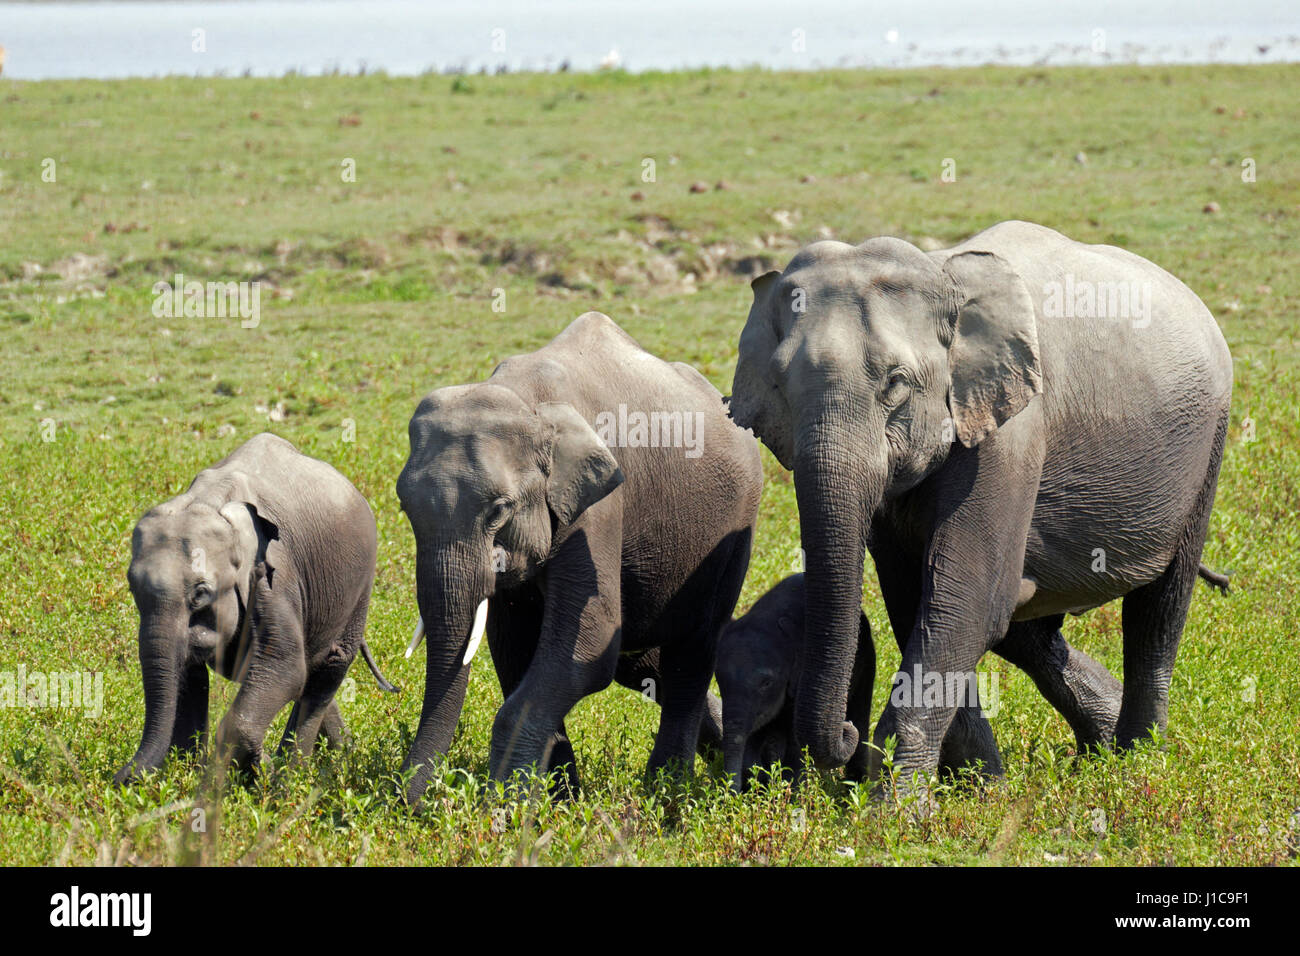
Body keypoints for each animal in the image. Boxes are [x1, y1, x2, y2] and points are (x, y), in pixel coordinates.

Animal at [114, 432, 396, 785]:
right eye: (132, 587)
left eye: (201, 593)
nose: (121, 778)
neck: (211, 501)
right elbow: (189, 675)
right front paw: (190, 770)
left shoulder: (277, 574)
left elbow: (285, 665)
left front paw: (263, 769)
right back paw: (340, 754)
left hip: (360, 587)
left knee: (328, 667)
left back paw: (294, 774)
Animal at [395, 311, 763, 804]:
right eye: (405, 509)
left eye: (499, 510)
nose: (410, 806)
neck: (527, 400)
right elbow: (513, 647)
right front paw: (560, 800)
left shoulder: (600, 506)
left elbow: (586, 641)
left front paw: (508, 808)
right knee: (645, 664)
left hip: (736, 527)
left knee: (692, 651)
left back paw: (668, 794)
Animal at [728, 219, 1232, 789]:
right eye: (779, 387)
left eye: (896, 384)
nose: (849, 737)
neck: (940, 271)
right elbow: (916, 599)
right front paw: (981, 784)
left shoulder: (1011, 433)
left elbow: (962, 605)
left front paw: (902, 801)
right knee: (1025, 621)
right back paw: (1100, 742)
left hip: (1208, 442)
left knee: (1158, 608)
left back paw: (1135, 759)